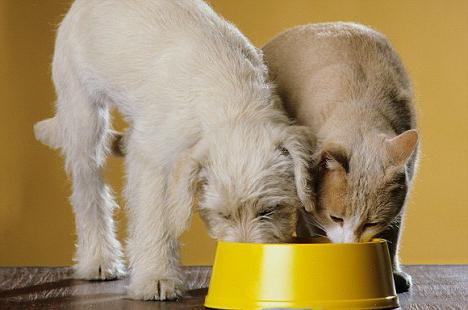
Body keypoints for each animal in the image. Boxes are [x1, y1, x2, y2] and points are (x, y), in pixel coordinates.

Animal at [32, 0, 310, 300]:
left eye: (270, 210)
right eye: (221, 214)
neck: (236, 106)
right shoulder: (152, 162)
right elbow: (155, 216)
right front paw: (156, 278)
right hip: (83, 113)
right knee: (88, 190)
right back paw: (99, 260)